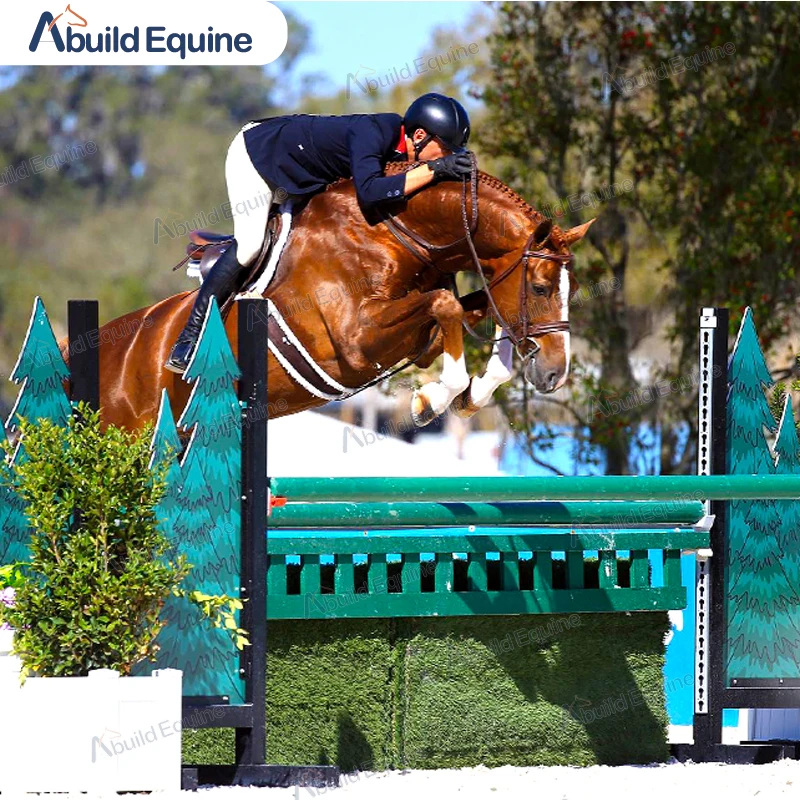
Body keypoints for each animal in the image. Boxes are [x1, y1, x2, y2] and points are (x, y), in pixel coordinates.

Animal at [86, 164, 593, 432]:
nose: (555, 375)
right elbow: (445, 305)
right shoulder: (355, 341)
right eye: (541, 287)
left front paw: (474, 393)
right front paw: (432, 399)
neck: (393, 231)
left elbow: (484, 313)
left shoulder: (417, 334)